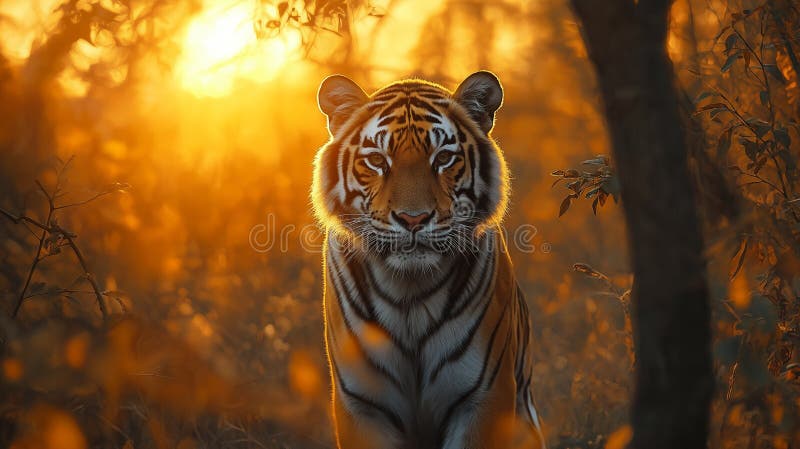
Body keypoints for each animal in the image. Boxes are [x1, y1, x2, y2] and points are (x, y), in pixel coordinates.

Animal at [311, 71, 546, 449]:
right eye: (378, 161)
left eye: (444, 158)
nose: (413, 219)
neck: (408, 291)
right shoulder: (362, 405)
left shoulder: (483, 398)